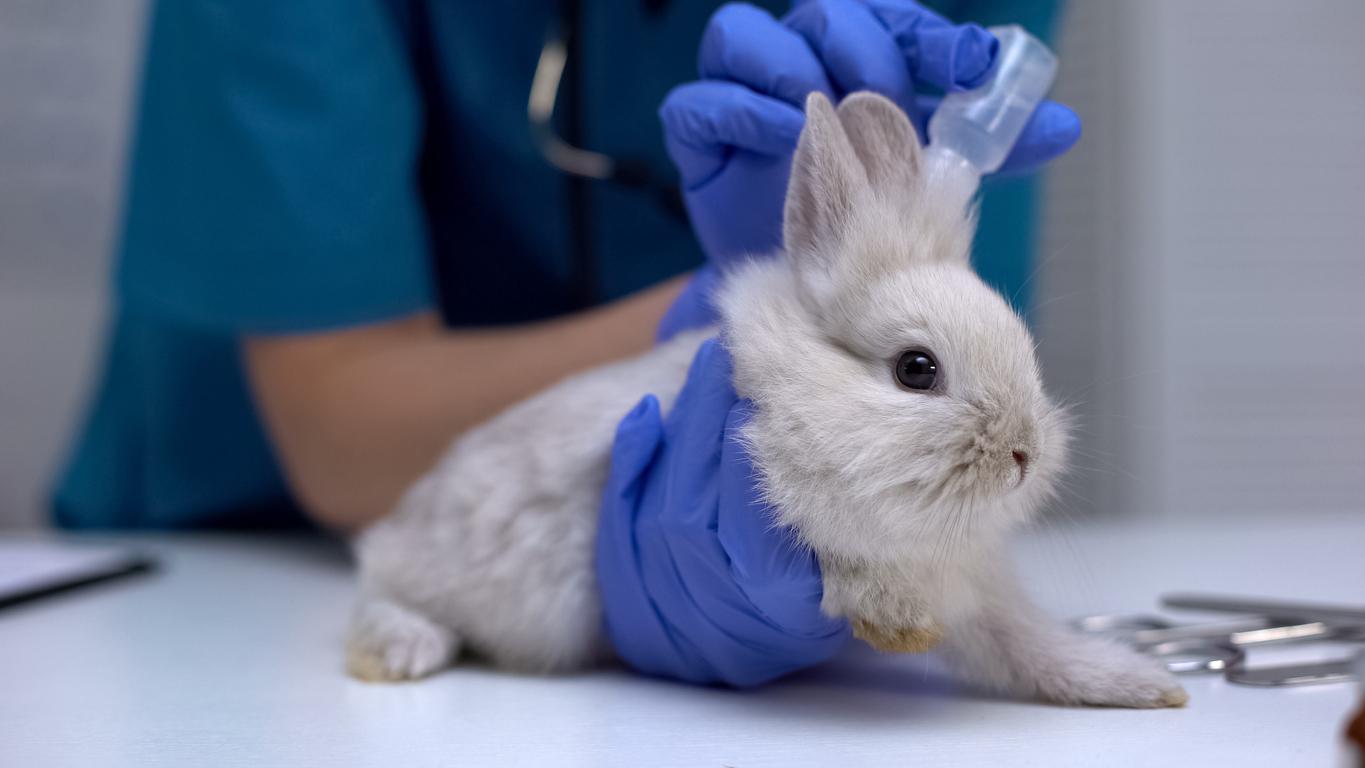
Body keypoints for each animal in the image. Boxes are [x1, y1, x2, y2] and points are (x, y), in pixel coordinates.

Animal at [346, 90, 1187, 709]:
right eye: (916, 369)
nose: (1022, 454)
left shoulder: (977, 589)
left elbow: (1023, 644)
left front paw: (1140, 686)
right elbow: (862, 573)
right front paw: (895, 624)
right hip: (435, 568)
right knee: (377, 587)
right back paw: (403, 651)